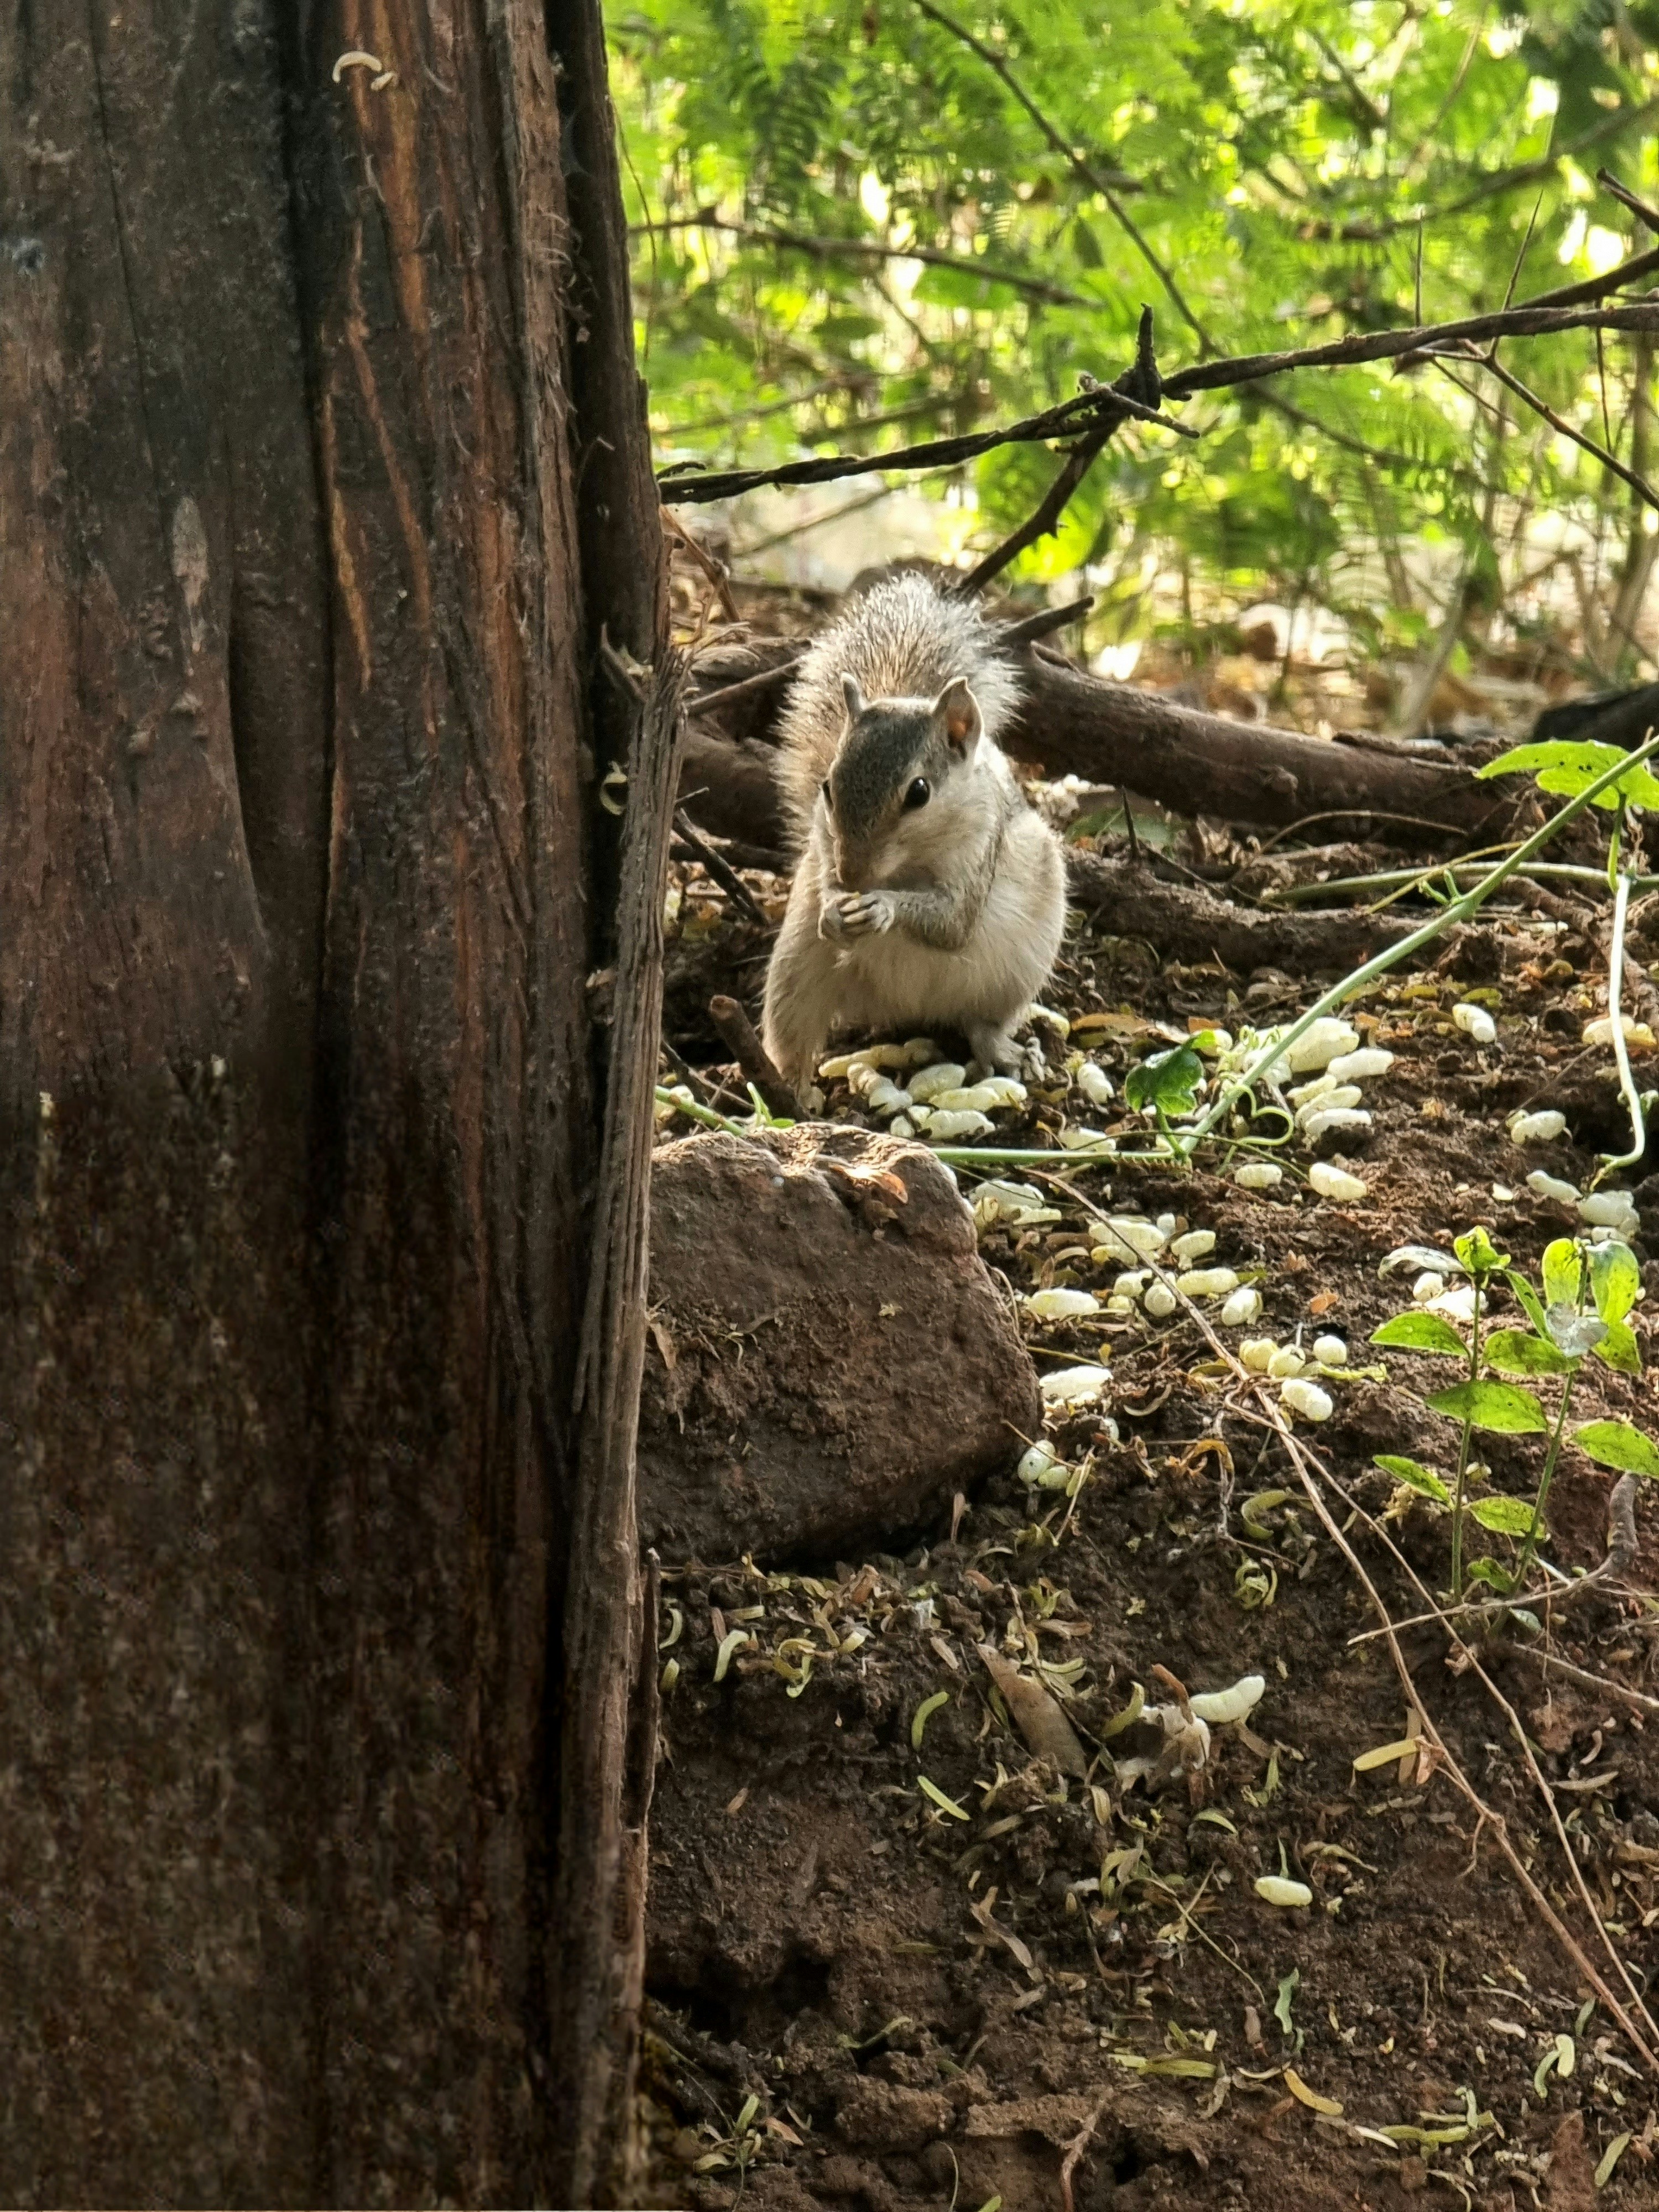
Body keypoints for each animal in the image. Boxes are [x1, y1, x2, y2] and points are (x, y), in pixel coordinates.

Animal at [761, 573, 1066, 1097]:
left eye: (919, 792)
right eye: (827, 786)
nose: (853, 876)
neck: (906, 864)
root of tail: (898, 1009)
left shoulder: (980, 853)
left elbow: (951, 923)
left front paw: (883, 906)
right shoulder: (824, 848)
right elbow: (825, 881)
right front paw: (835, 909)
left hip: (1018, 972)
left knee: (982, 1024)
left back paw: (1002, 1052)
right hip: (794, 974)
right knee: (792, 1037)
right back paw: (792, 1091)